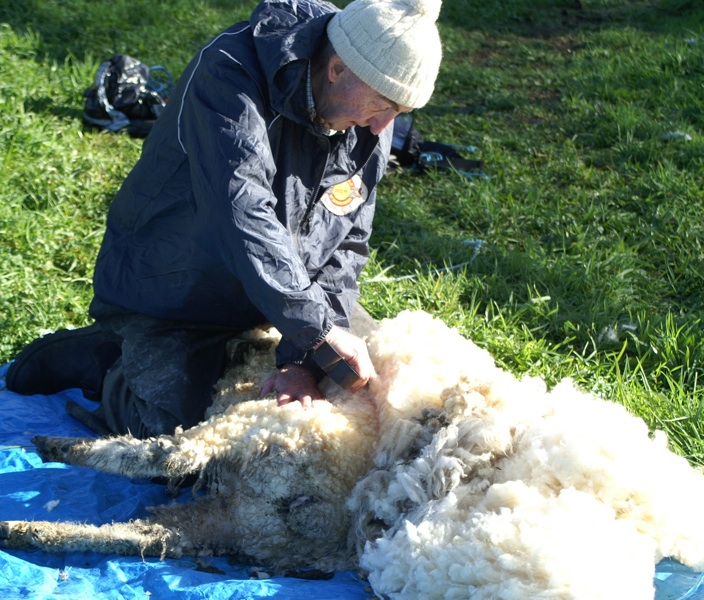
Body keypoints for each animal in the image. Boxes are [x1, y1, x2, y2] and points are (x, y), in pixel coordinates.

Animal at [1, 310, 704, 599]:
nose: (237, 342)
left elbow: (164, 456)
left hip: (254, 446)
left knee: (161, 461)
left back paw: (54, 450)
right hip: (217, 517)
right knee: (141, 535)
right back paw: (28, 527)